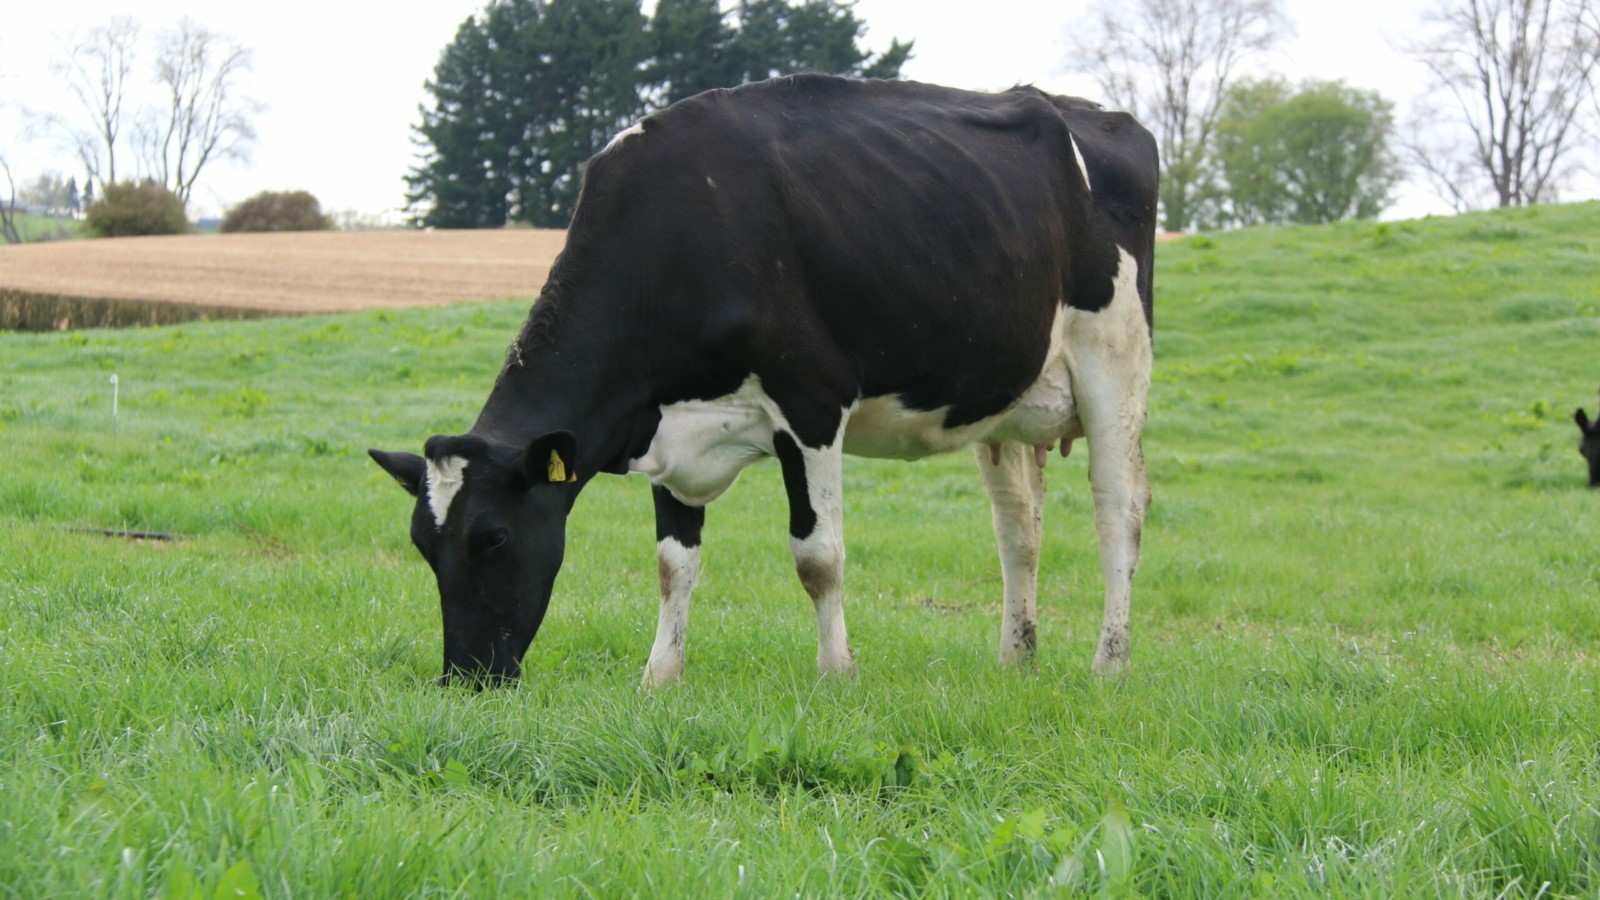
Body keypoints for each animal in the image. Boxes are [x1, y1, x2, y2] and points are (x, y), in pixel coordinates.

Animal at [369, 75, 1158, 687]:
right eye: (422, 546)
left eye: (495, 537)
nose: (466, 676)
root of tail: (1085, 110)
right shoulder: (664, 423)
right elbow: (673, 563)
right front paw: (659, 678)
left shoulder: (811, 402)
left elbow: (819, 558)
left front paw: (836, 673)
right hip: (1007, 401)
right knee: (1018, 525)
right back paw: (1016, 660)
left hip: (1116, 360)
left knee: (1118, 509)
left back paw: (1110, 664)